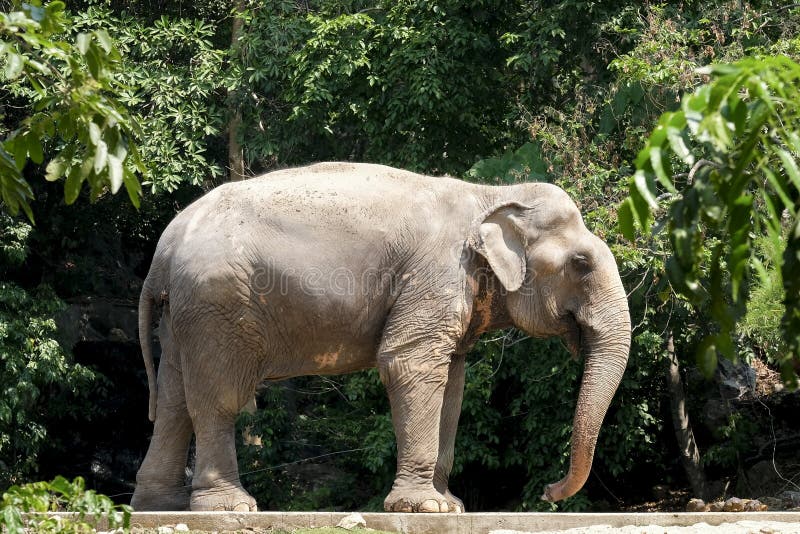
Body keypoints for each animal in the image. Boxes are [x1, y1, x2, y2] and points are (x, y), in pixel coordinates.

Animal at [130, 162, 631, 513]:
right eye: (581, 263)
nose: (548, 491)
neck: (491, 196)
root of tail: (164, 247)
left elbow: (453, 384)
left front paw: (448, 505)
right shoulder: (435, 273)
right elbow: (410, 363)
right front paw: (425, 507)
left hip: (185, 312)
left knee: (174, 399)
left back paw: (160, 507)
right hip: (218, 303)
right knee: (219, 397)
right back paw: (228, 508)